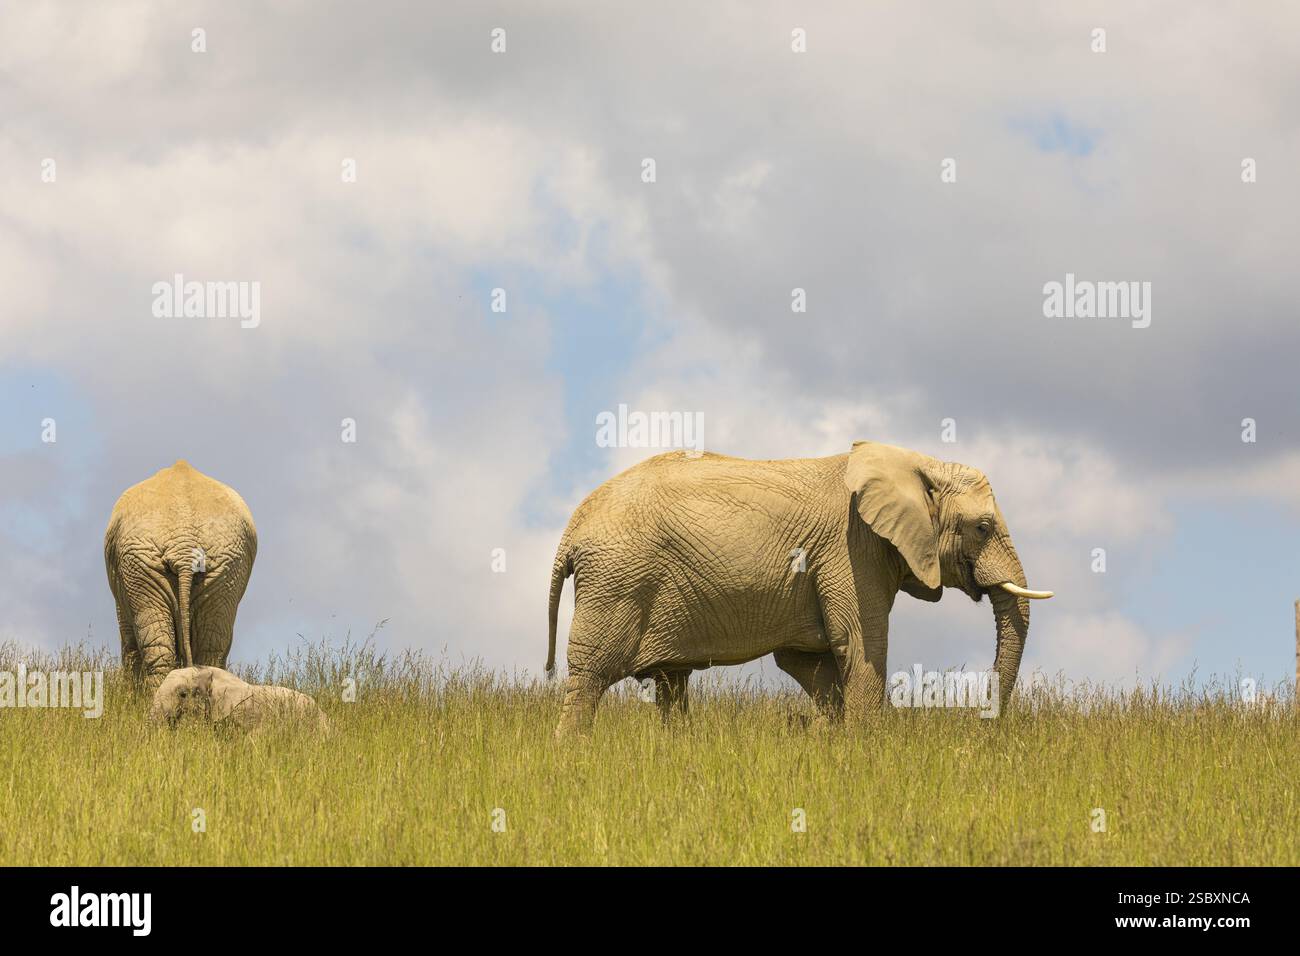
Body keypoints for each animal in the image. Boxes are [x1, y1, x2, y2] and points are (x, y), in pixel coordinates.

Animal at [545, 441, 1053, 736]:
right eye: (983, 527)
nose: (980, 725)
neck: (915, 463)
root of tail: (571, 530)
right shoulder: (852, 550)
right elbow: (862, 646)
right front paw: (866, 747)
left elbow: (810, 661)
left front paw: (826, 735)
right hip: (617, 581)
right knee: (590, 676)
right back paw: (573, 755)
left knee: (672, 684)